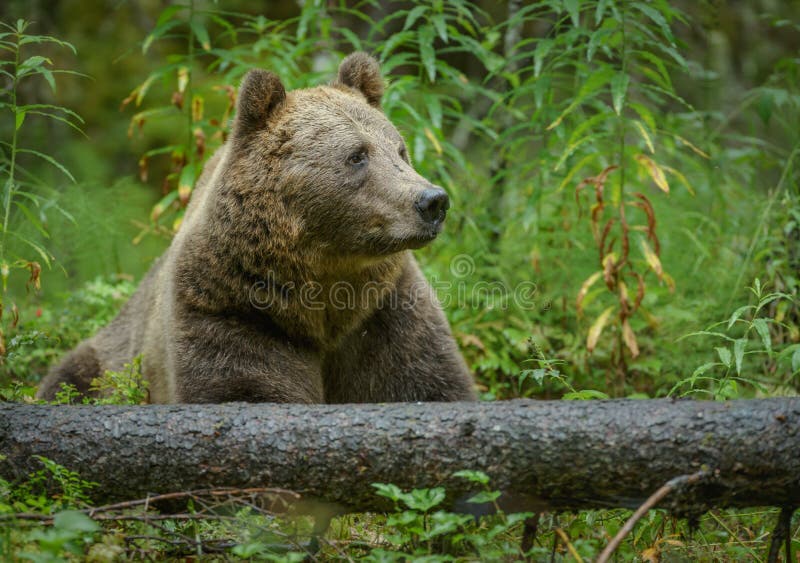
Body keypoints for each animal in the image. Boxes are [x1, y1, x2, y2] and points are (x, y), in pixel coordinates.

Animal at [36, 53, 476, 404]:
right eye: (356, 155)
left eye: (399, 149)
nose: (432, 201)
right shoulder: (231, 305)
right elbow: (244, 388)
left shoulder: (384, 310)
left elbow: (425, 381)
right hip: (108, 357)